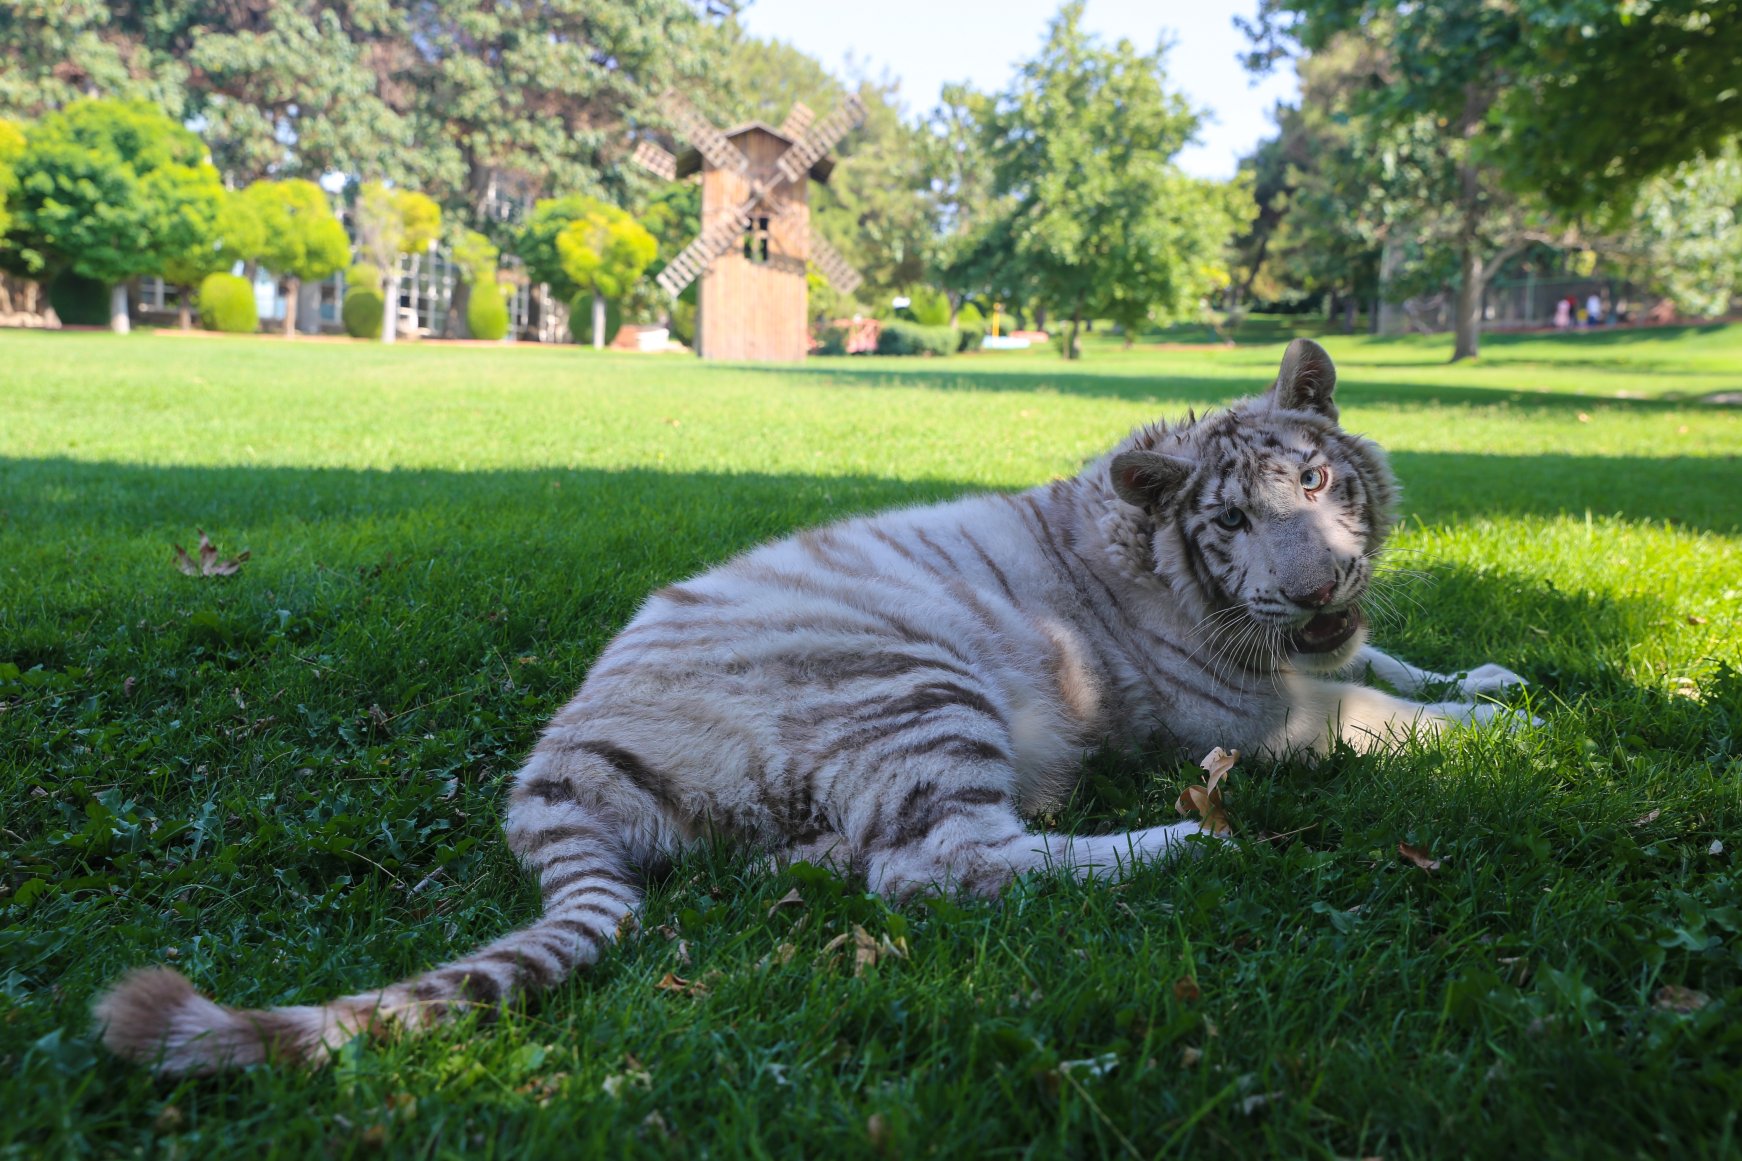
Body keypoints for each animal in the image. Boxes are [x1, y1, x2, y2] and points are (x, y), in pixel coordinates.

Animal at [95, 338, 1530, 1075]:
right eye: (1230, 523)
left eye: (1318, 480)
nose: (1319, 583)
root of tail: (552, 769)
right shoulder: (1239, 710)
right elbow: (1365, 716)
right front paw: (1509, 730)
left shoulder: (1321, 651)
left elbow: (1390, 669)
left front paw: (1489, 678)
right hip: (915, 684)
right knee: (946, 865)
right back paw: (1182, 840)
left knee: (870, 864)